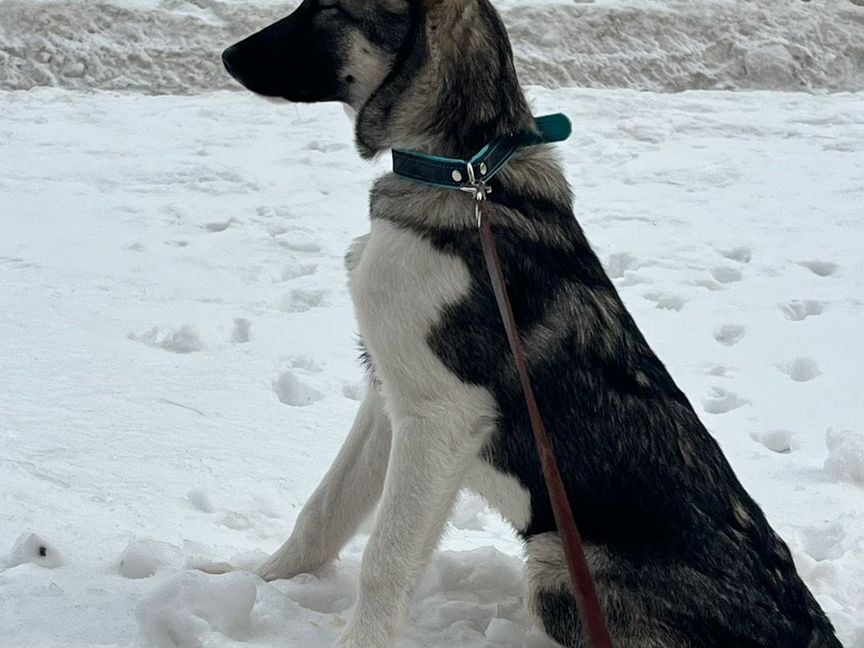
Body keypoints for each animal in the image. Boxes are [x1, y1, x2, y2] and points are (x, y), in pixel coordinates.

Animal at [219, 1, 840, 648]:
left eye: (328, 10)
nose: (226, 57)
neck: (461, 172)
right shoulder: (388, 398)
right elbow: (325, 510)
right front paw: (262, 582)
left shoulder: (440, 415)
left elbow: (385, 558)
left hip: (555, 562)